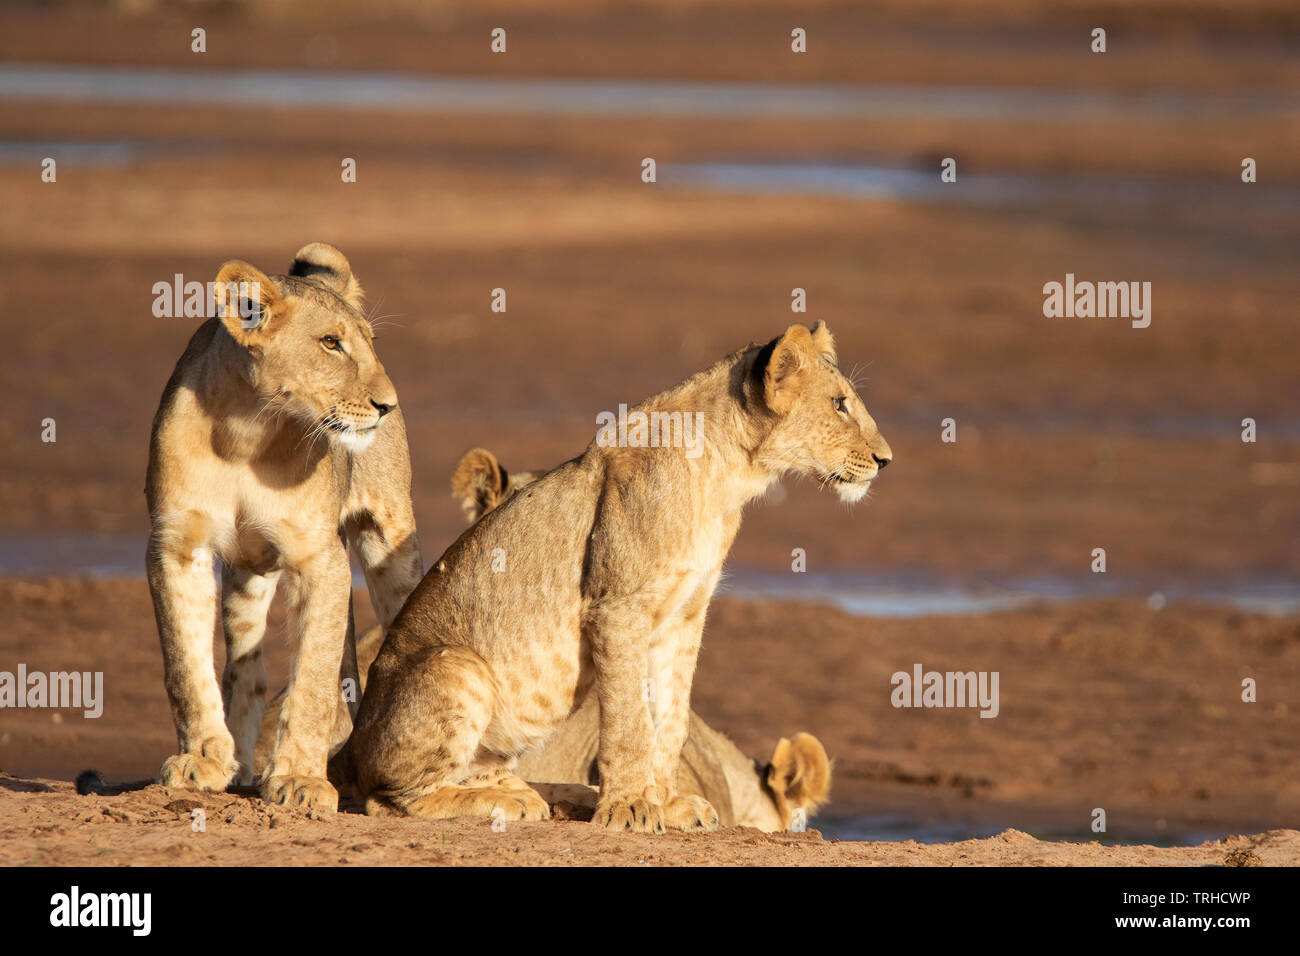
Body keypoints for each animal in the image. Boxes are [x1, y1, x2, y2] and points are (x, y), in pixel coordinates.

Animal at [145, 242, 423, 812]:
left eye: (371, 342)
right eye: (331, 343)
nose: (388, 405)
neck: (247, 432)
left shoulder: (320, 557)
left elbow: (314, 677)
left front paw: (299, 778)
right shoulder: (176, 546)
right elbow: (185, 663)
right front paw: (202, 760)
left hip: (389, 536)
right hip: (248, 574)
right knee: (247, 672)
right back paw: (240, 764)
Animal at [347, 320, 889, 831]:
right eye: (839, 405)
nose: (886, 460)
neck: (725, 481)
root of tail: (352, 750)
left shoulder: (683, 617)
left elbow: (669, 719)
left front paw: (667, 805)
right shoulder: (617, 607)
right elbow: (630, 721)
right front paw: (630, 808)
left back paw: (555, 795)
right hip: (459, 664)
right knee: (390, 799)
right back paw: (511, 803)